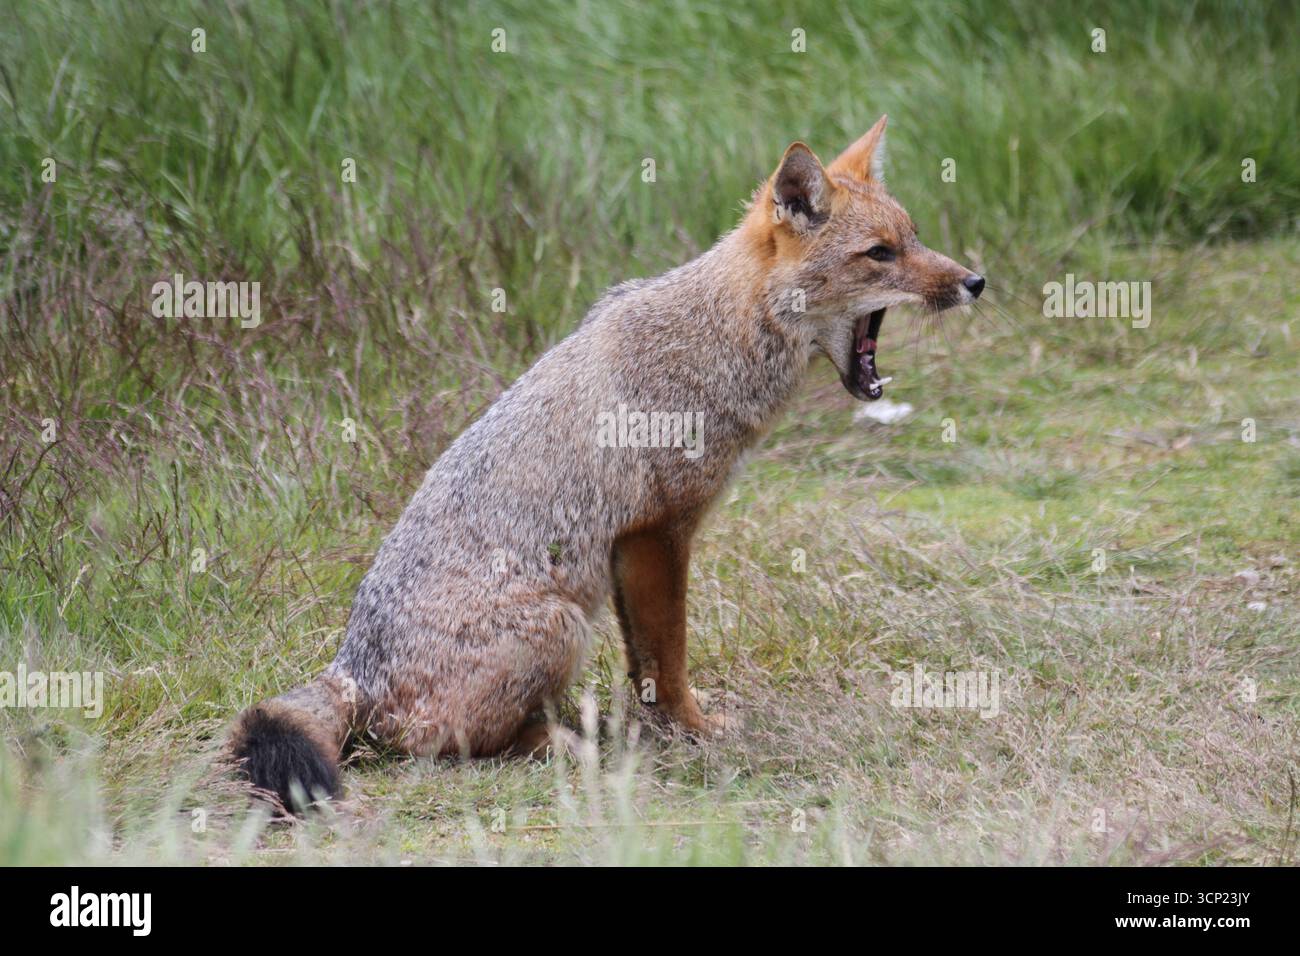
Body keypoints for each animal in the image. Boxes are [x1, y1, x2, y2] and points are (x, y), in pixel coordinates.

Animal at [229, 116, 985, 809]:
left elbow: (645, 665)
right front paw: (694, 730)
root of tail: (353, 666)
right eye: (879, 253)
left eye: (915, 237)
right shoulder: (657, 532)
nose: (977, 281)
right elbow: (667, 657)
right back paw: (562, 742)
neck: (714, 335)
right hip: (560, 625)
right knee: (436, 743)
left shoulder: (634, 548)